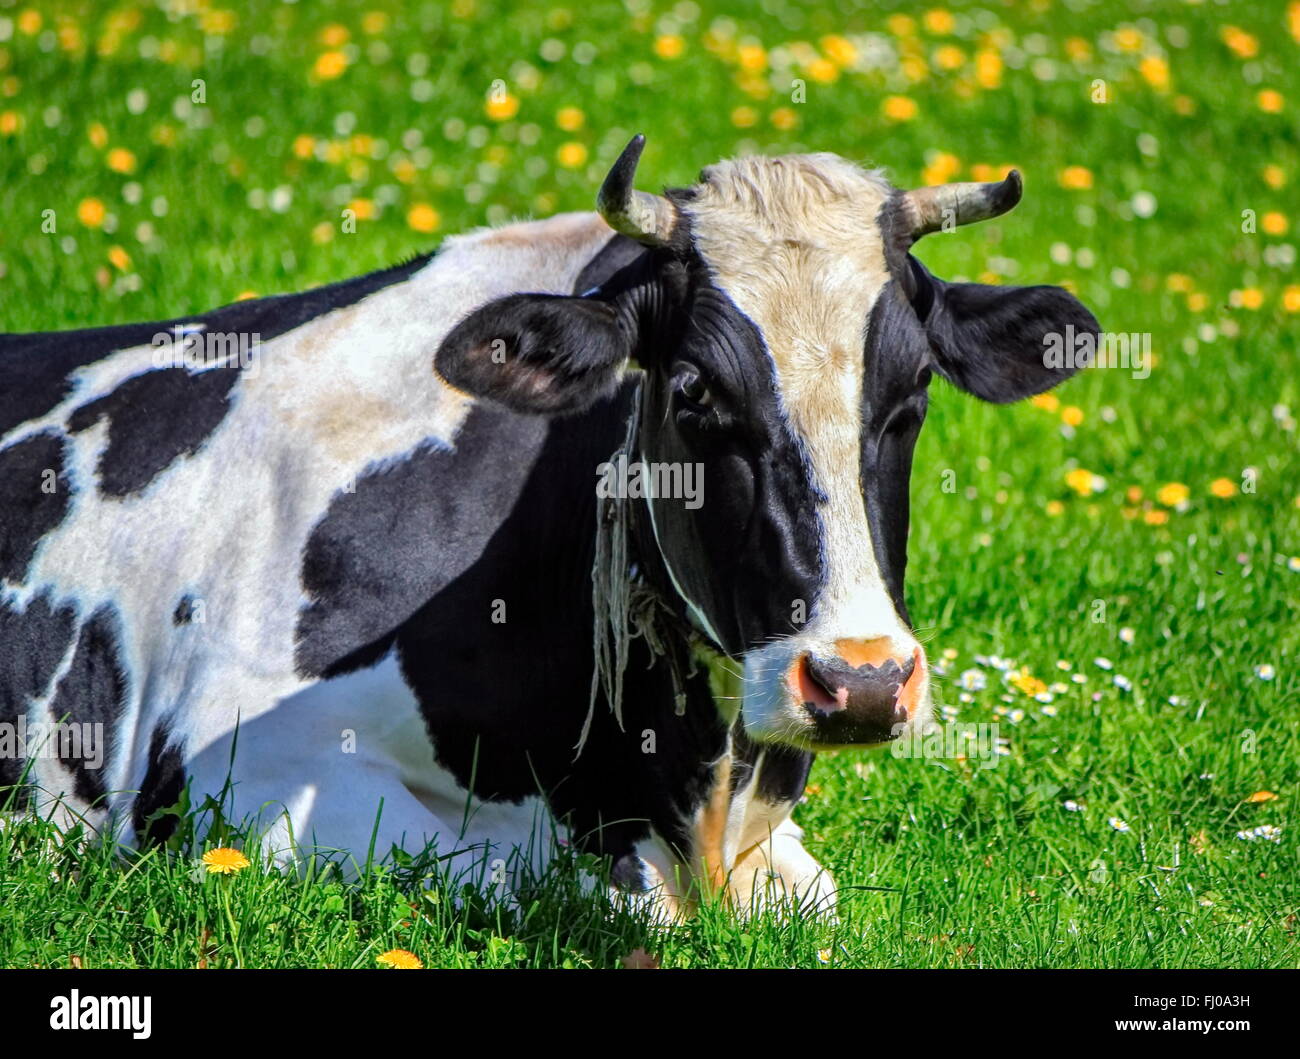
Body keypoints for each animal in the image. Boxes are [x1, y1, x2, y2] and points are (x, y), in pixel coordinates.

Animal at [0, 136, 1098, 918]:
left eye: (913, 392)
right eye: (693, 390)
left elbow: (811, 898)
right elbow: (571, 890)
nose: (860, 679)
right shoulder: (234, 776)